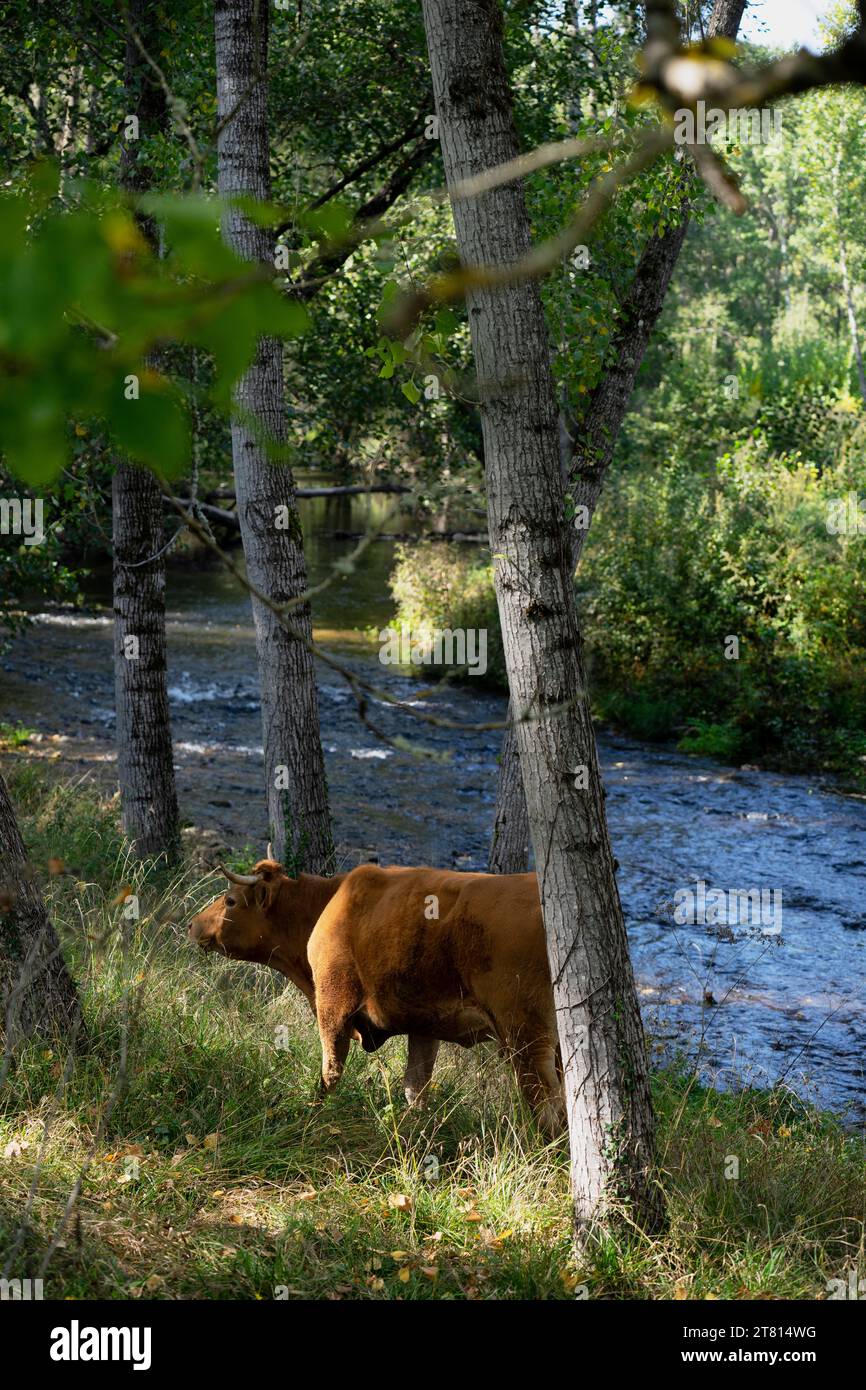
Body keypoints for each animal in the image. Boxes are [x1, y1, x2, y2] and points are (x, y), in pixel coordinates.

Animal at [188, 858, 564, 1133]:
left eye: (231, 900)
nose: (193, 925)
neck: (326, 905)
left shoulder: (332, 1006)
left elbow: (330, 1072)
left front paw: (312, 1114)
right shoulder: (424, 1025)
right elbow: (415, 1086)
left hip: (526, 1038)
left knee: (547, 1104)